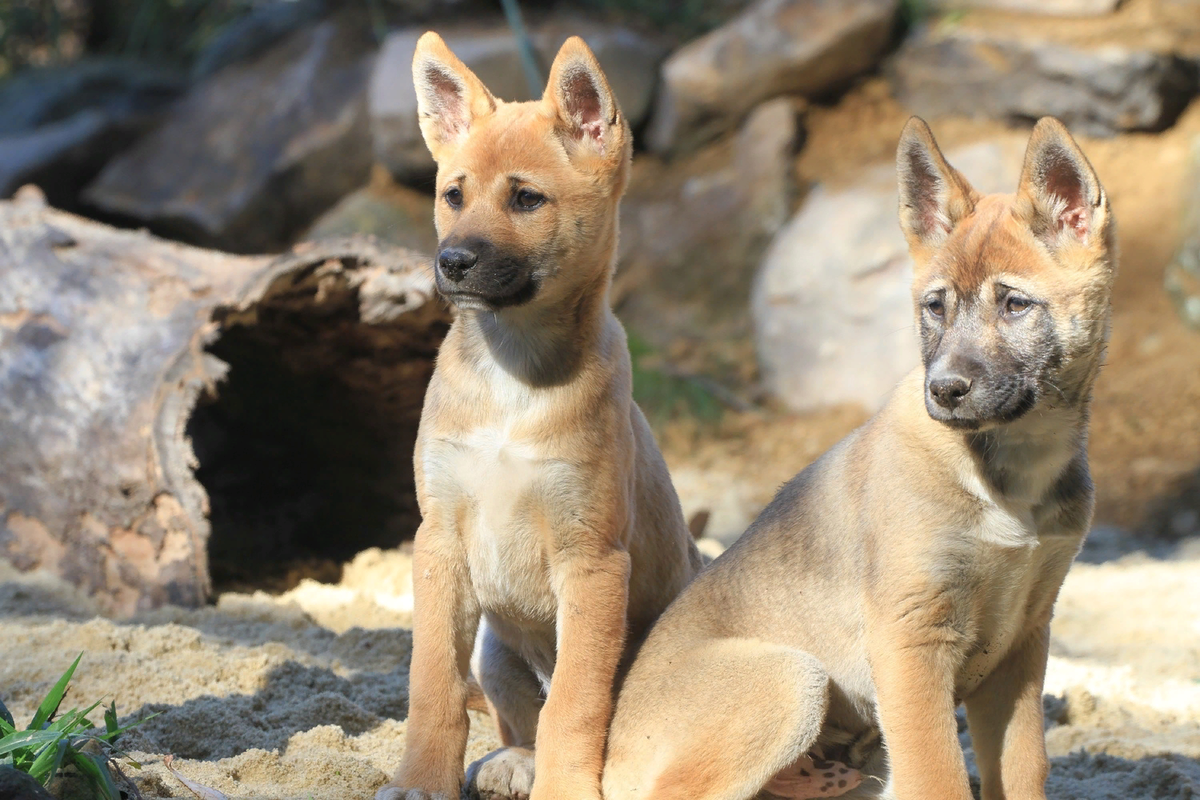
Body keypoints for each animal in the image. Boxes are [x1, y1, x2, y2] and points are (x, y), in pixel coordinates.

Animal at [374, 34, 700, 800]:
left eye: (526, 199)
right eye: (453, 195)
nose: (451, 261)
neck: (512, 375)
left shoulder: (592, 559)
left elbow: (577, 703)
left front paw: (567, 786)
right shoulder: (438, 540)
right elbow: (432, 683)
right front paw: (421, 779)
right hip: (495, 648)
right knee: (513, 710)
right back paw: (514, 761)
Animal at [604, 118, 1118, 800]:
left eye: (1015, 305)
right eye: (935, 307)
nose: (944, 390)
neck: (1010, 475)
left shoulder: (1022, 642)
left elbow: (1023, 770)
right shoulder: (910, 642)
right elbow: (939, 778)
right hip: (792, 679)